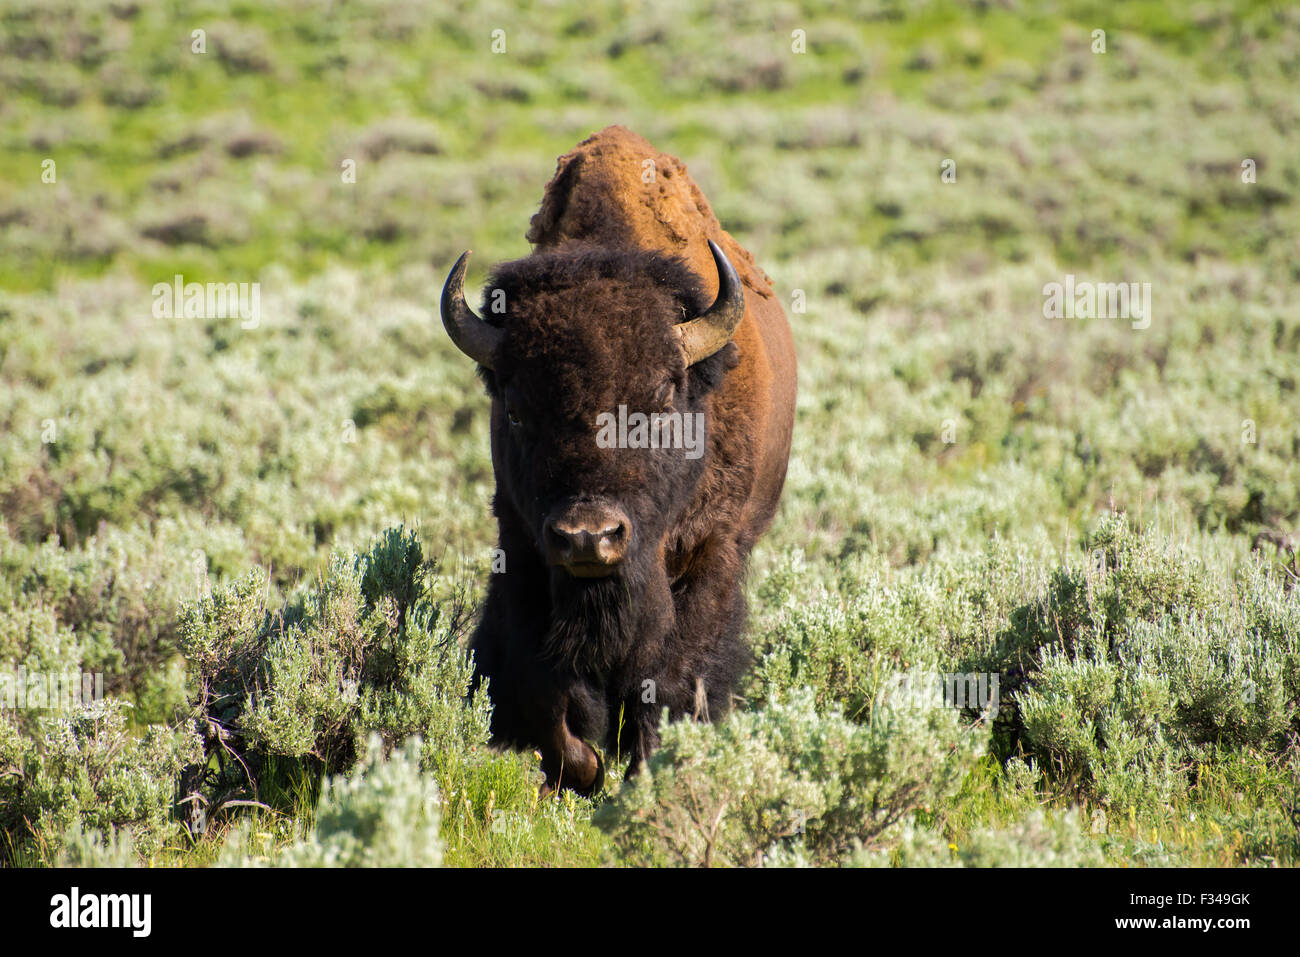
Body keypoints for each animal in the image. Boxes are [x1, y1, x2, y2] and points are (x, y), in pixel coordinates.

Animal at [441, 126, 796, 793]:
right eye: (516, 411)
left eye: (657, 403)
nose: (588, 537)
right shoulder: (524, 547)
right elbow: (546, 688)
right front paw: (584, 768)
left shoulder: (709, 555)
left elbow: (670, 680)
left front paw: (645, 771)